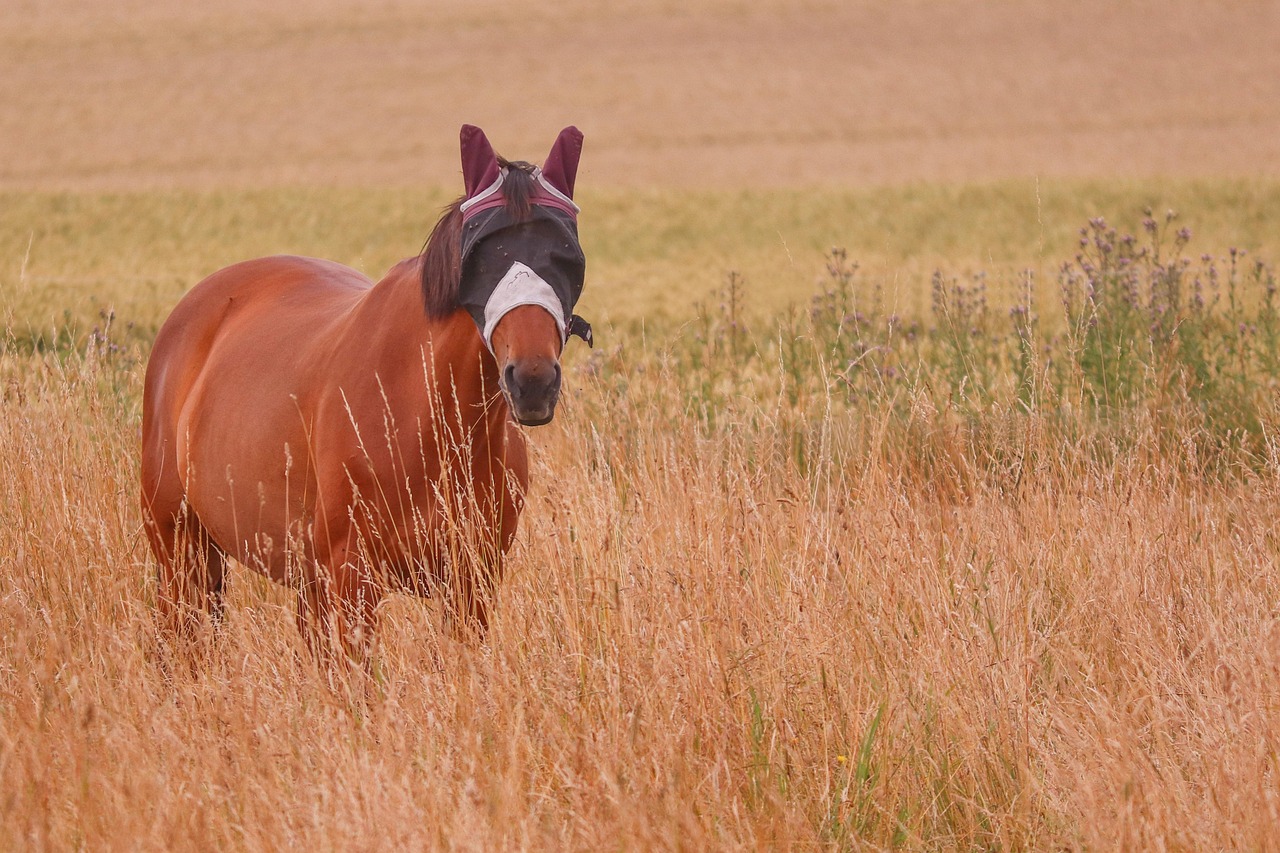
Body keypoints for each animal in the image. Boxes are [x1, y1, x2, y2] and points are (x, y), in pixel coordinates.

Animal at [140, 125, 592, 668]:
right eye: (483, 255)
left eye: (566, 254)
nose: (532, 380)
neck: (429, 422)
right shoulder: (354, 577)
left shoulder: (472, 583)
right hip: (180, 549)